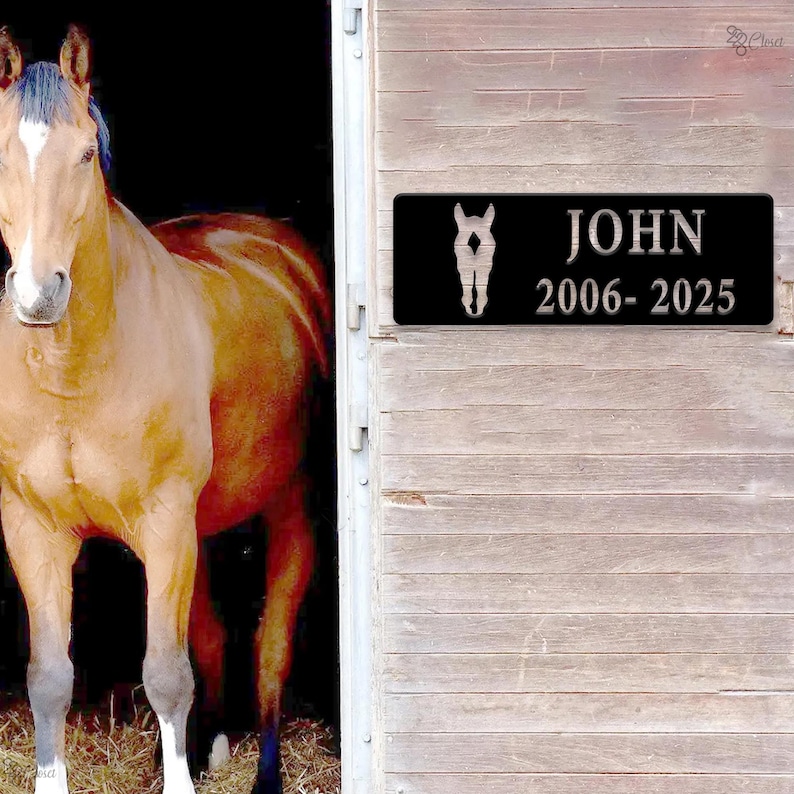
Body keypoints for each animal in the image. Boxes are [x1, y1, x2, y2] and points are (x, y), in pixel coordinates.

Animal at [0, 25, 330, 794]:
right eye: (1, 151)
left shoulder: (164, 522)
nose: (38, 294)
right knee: (210, 635)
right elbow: (50, 681)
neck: (77, 374)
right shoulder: (33, 528)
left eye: (85, 154)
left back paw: (264, 769)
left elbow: (167, 676)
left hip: (287, 510)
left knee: (270, 645)